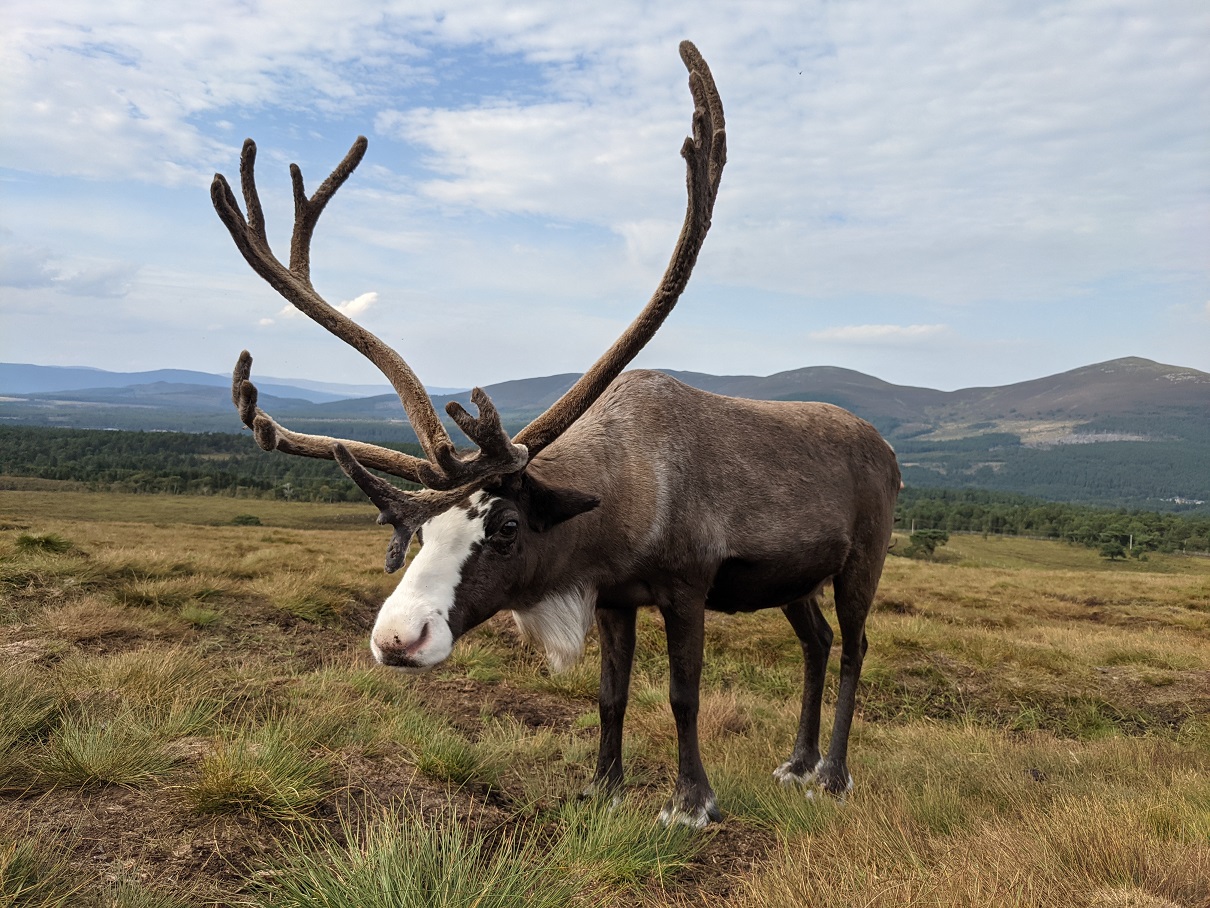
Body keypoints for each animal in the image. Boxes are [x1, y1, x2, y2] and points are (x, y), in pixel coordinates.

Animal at [210, 41, 901, 828]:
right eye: (421, 532)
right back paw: (797, 760)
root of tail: (886, 448)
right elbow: (610, 696)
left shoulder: (686, 585)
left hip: (862, 559)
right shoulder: (615, 596)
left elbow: (682, 696)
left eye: (507, 526)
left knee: (854, 646)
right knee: (817, 642)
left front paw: (692, 802)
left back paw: (834, 774)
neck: (625, 491)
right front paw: (602, 788)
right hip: (794, 577)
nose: (397, 638)